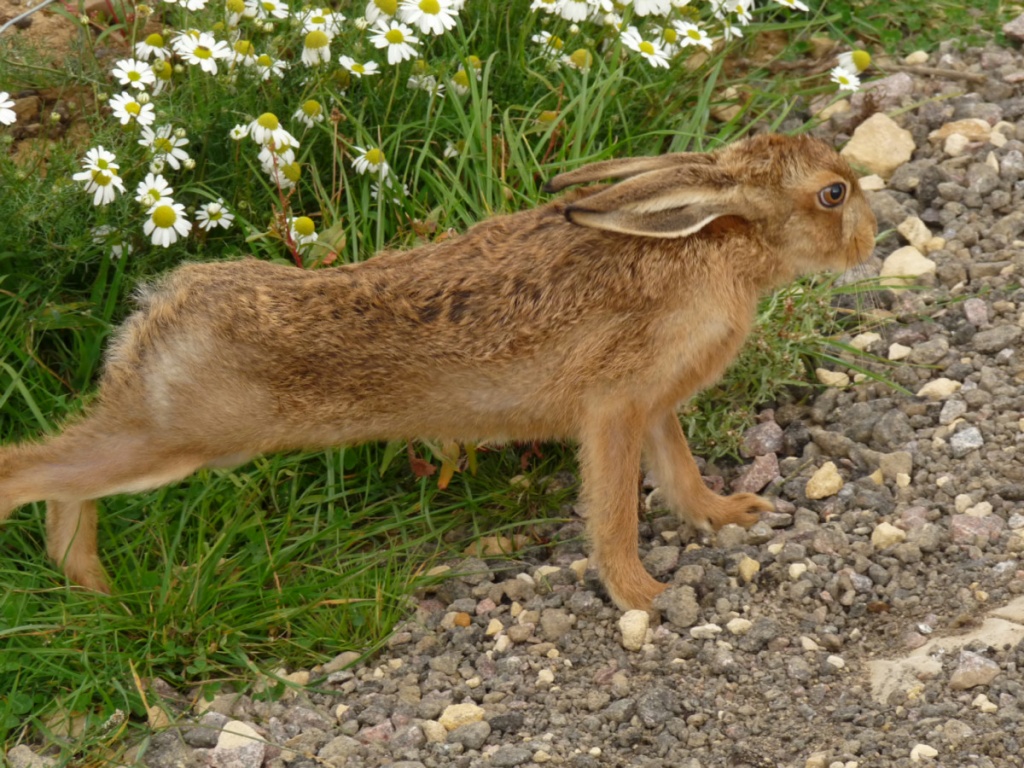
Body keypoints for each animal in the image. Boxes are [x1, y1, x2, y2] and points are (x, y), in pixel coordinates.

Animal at [0, 133, 876, 611]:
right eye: (832, 194)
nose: (870, 240)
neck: (719, 240)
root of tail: (158, 311)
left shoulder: (654, 405)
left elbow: (680, 472)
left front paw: (731, 514)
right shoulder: (615, 408)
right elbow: (614, 512)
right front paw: (643, 596)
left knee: (66, 488)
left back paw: (94, 590)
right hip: (179, 436)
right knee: (31, 471)